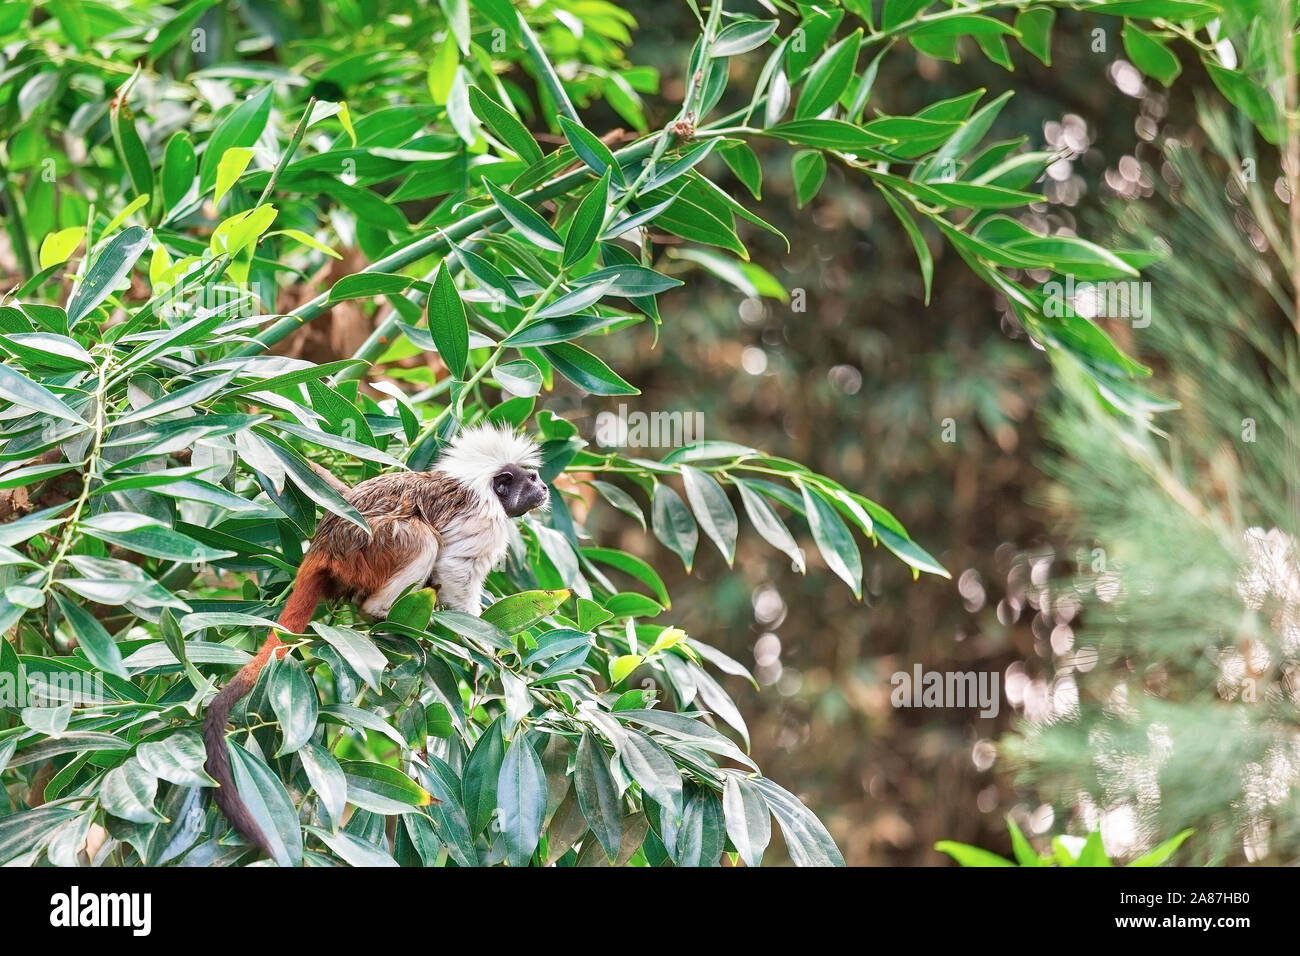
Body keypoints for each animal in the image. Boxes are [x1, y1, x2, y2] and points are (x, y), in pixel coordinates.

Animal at [201, 423, 549, 859]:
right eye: (530, 479)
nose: (544, 488)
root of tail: (324, 546)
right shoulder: (484, 522)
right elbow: (455, 566)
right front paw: (484, 647)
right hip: (370, 547)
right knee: (420, 537)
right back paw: (383, 612)